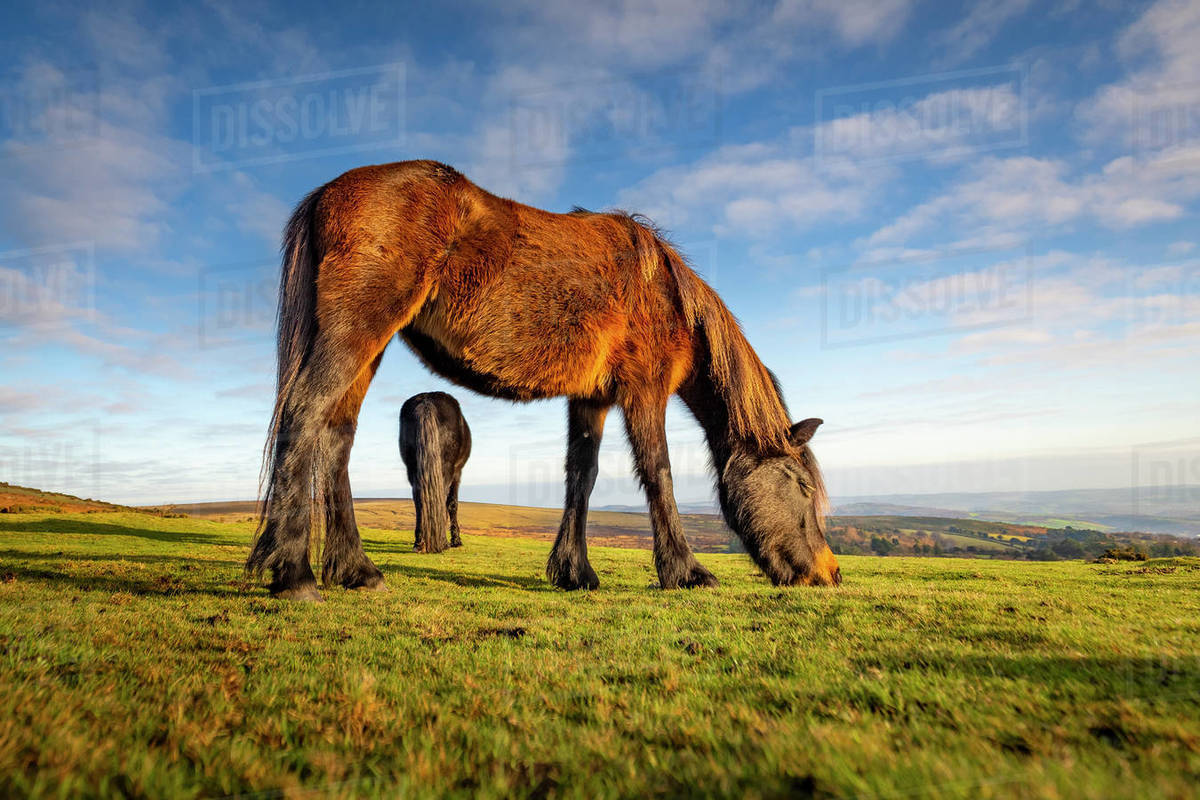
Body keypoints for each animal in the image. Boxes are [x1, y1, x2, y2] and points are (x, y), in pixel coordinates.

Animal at [399, 391, 471, 553]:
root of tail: (426, 402)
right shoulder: (457, 474)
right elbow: (452, 504)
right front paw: (456, 541)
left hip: (413, 469)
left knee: (418, 499)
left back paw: (419, 542)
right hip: (447, 471)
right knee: (441, 497)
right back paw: (442, 542)